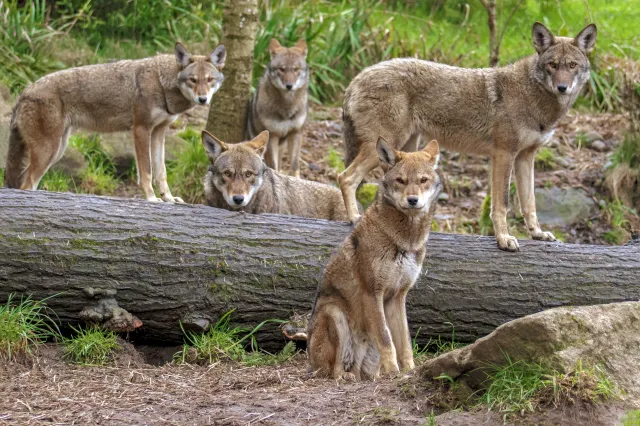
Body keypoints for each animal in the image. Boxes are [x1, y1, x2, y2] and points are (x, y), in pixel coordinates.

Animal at [4, 42, 226, 202]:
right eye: (193, 80)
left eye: (209, 80)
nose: (203, 100)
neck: (162, 83)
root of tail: (25, 91)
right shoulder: (140, 129)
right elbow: (147, 171)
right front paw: (151, 199)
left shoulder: (159, 132)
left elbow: (161, 172)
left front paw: (169, 199)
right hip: (48, 151)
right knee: (26, 185)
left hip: (57, 151)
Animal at [247, 38, 309, 178]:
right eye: (282, 69)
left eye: (296, 69)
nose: (289, 86)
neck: (287, 107)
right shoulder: (272, 136)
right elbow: (273, 166)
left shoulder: (296, 133)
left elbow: (295, 164)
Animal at [307, 138, 442, 380]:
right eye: (401, 180)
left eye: (422, 180)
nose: (413, 200)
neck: (405, 242)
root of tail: (309, 363)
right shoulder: (372, 292)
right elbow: (387, 338)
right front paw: (394, 370)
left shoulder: (398, 296)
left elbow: (404, 342)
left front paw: (409, 370)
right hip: (334, 313)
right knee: (333, 372)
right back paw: (345, 376)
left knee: (362, 371)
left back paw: (372, 376)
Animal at [338, 22, 596, 251]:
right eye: (553, 65)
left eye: (572, 65)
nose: (562, 87)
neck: (533, 97)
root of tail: (356, 78)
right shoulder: (504, 154)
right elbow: (502, 204)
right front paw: (503, 239)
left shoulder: (525, 156)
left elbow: (529, 202)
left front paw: (537, 234)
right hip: (384, 146)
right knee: (345, 177)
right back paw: (354, 218)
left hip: (406, 150)